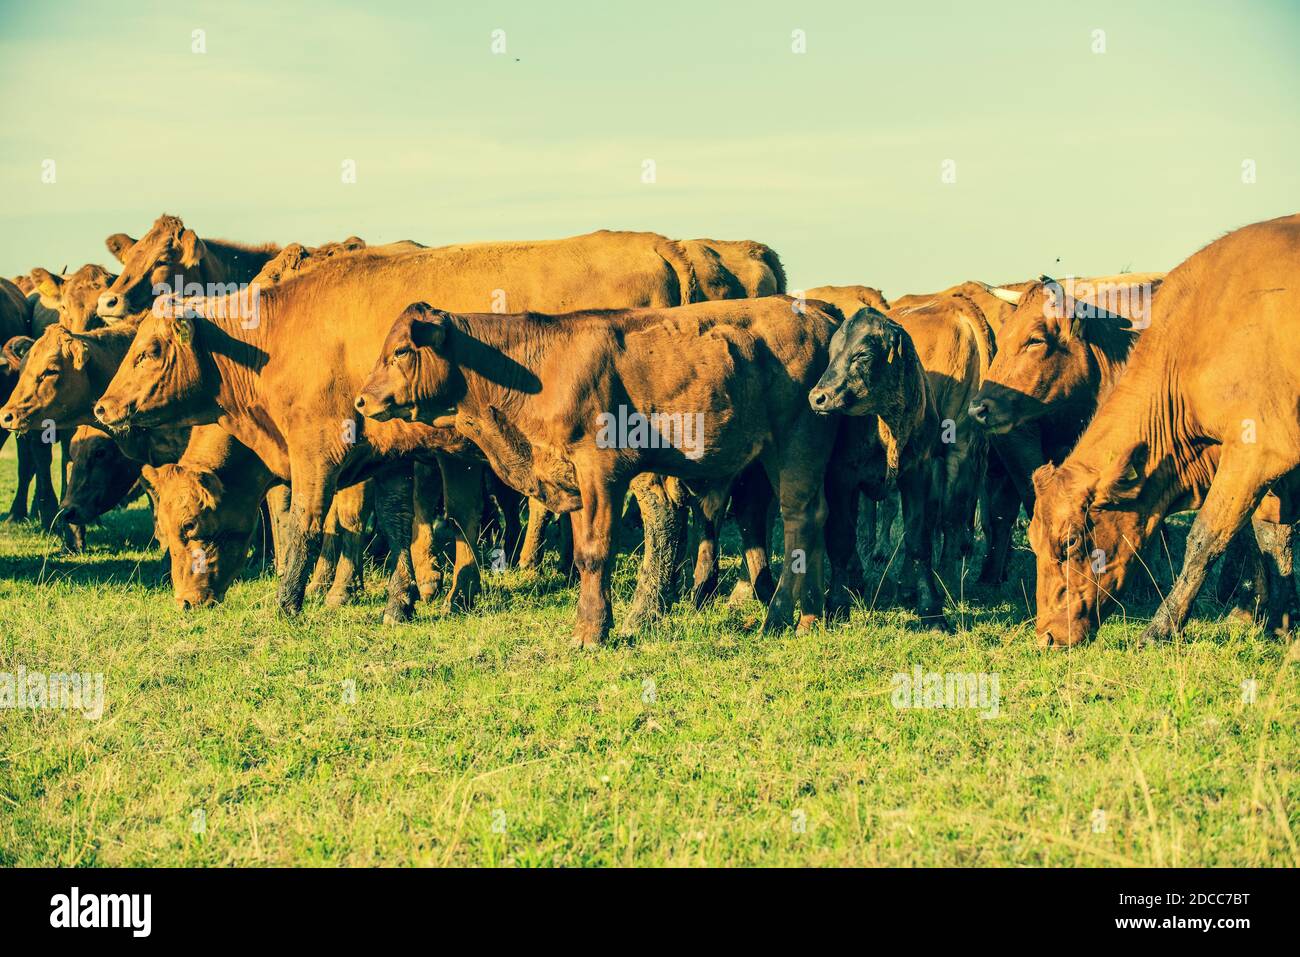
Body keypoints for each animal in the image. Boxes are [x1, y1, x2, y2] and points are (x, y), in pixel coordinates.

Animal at [355, 296, 839, 645]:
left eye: (401, 351)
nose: (361, 400)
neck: (541, 368)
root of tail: (817, 310)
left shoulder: (602, 471)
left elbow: (594, 553)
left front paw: (591, 631)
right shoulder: (569, 480)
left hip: (795, 443)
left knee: (797, 523)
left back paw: (778, 616)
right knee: (815, 519)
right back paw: (810, 617)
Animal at [808, 306, 947, 629]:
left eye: (862, 355)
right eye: (831, 353)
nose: (818, 397)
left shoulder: (918, 474)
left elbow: (918, 539)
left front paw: (931, 610)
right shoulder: (840, 478)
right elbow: (841, 538)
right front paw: (837, 603)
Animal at [1029, 214, 1300, 646]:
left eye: (1070, 541)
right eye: (1032, 541)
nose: (1047, 636)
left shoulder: (1256, 453)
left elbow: (1207, 538)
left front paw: (1161, 627)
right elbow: (1271, 539)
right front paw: (1279, 619)